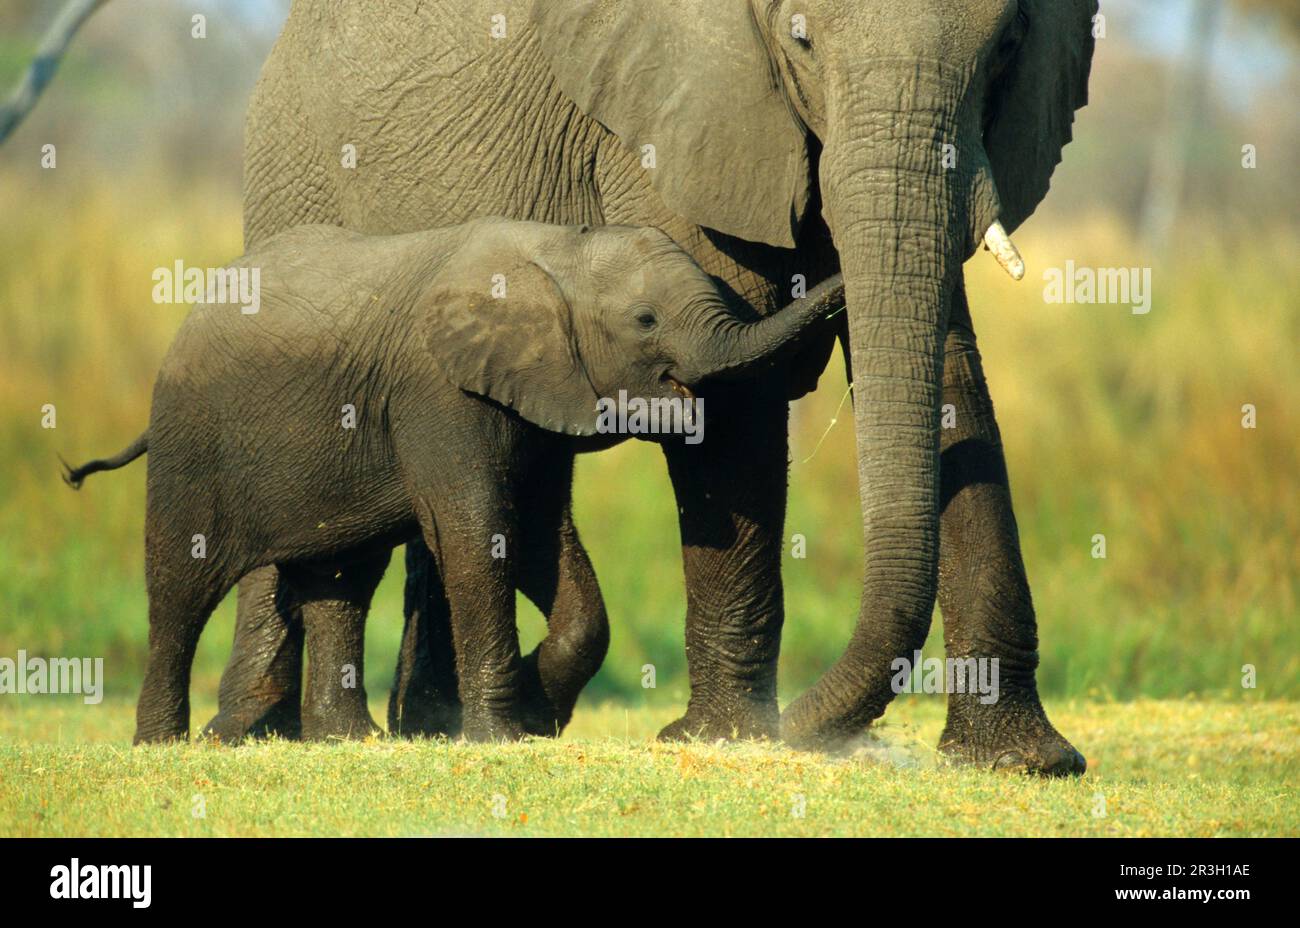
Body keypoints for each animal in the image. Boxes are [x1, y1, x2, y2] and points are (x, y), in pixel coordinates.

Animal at [61, 219, 844, 744]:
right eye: (645, 320)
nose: (837, 275)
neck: (558, 253)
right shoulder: (438, 391)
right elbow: (476, 532)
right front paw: (502, 733)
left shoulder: (539, 393)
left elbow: (537, 536)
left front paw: (534, 709)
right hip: (191, 439)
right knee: (180, 589)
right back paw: (160, 745)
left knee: (339, 580)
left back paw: (353, 742)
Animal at [209, 0, 1095, 773]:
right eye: (800, 41)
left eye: (1008, 47)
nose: (806, 728)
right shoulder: (674, 124)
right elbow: (733, 405)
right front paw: (729, 737)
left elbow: (952, 372)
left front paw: (1023, 761)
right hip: (293, 171)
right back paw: (251, 730)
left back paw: (427, 722)